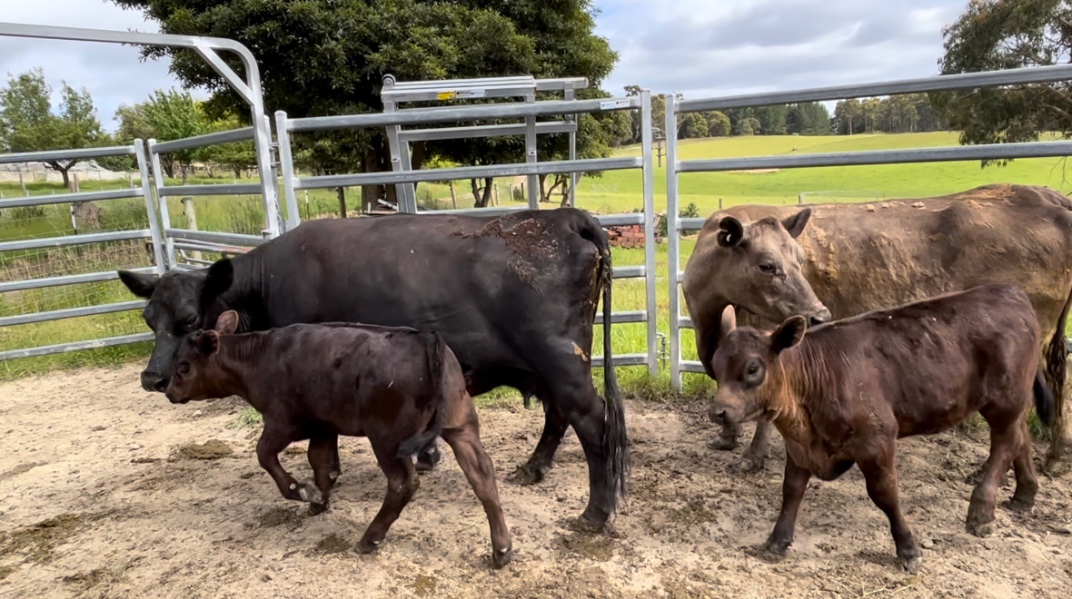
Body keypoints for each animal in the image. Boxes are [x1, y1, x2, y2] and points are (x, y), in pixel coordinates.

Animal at [118, 208, 627, 532]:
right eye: (148, 318)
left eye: (188, 320)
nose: (152, 378)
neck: (266, 283)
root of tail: (562, 216)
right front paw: (425, 457)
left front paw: (317, 490)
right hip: (551, 365)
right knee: (558, 414)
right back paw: (533, 468)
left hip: (561, 359)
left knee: (592, 421)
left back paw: (595, 513)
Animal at [164, 311, 514, 568]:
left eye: (183, 366)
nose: (167, 391)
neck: (259, 357)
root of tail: (427, 340)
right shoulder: (323, 426)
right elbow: (322, 463)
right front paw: (319, 499)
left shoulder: (283, 422)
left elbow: (264, 454)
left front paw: (301, 491)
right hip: (461, 426)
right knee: (482, 475)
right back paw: (502, 550)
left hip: (388, 439)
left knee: (403, 484)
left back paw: (369, 539)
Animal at [683, 183, 1072, 474]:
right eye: (766, 265)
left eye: (801, 260)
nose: (819, 314)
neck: (710, 317)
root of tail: (1044, 195)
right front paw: (727, 437)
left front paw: (752, 456)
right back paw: (1054, 457)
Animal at [707, 284, 1055, 572]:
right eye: (716, 365)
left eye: (753, 368)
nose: (717, 411)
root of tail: (1009, 291)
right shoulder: (800, 444)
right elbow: (791, 489)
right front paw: (777, 540)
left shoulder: (877, 440)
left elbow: (885, 494)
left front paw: (908, 548)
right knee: (1020, 437)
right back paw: (1024, 495)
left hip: (1005, 400)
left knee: (1005, 442)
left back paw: (981, 511)